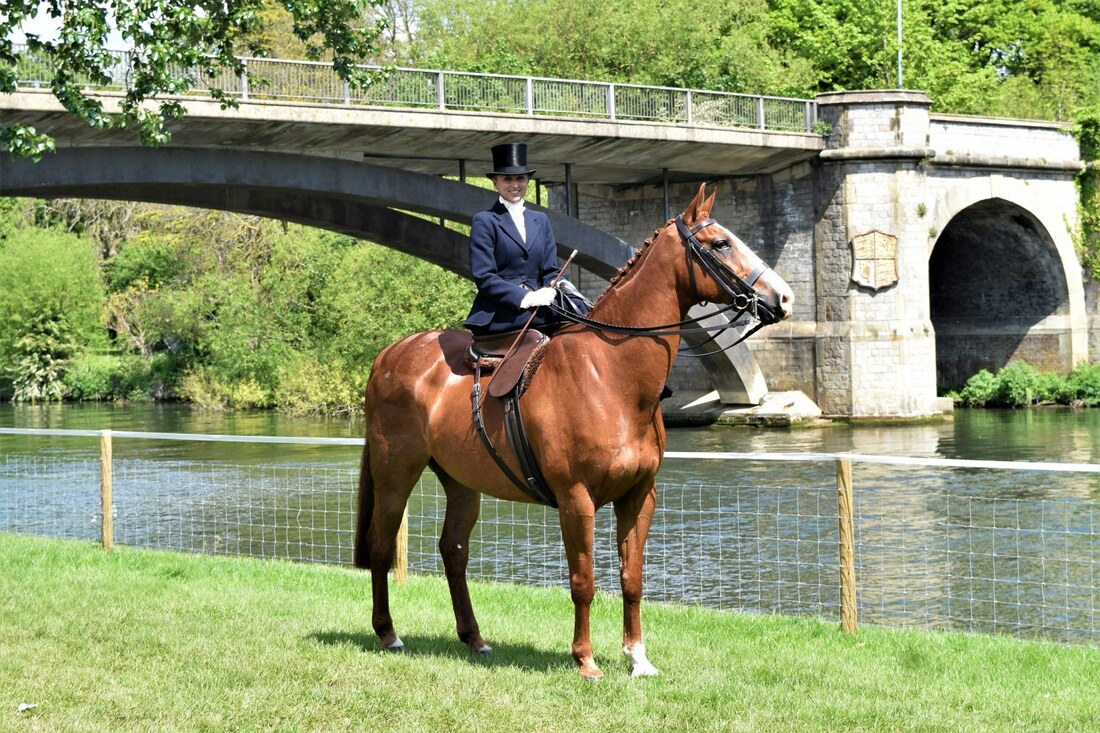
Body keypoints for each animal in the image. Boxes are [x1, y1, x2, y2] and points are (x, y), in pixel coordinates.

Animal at [354, 183, 794, 680]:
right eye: (720, 244)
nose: (784, 298)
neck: (610, 374)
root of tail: (391, 354)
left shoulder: (639, 496)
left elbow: (631, 578)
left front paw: (637, 657)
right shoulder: (576, 499)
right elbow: (583, 581)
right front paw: (586, 660)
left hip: (462, 482)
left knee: (454, 550)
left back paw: (475, 639)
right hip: (396, 473)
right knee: (380, 544)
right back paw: (388, 634)